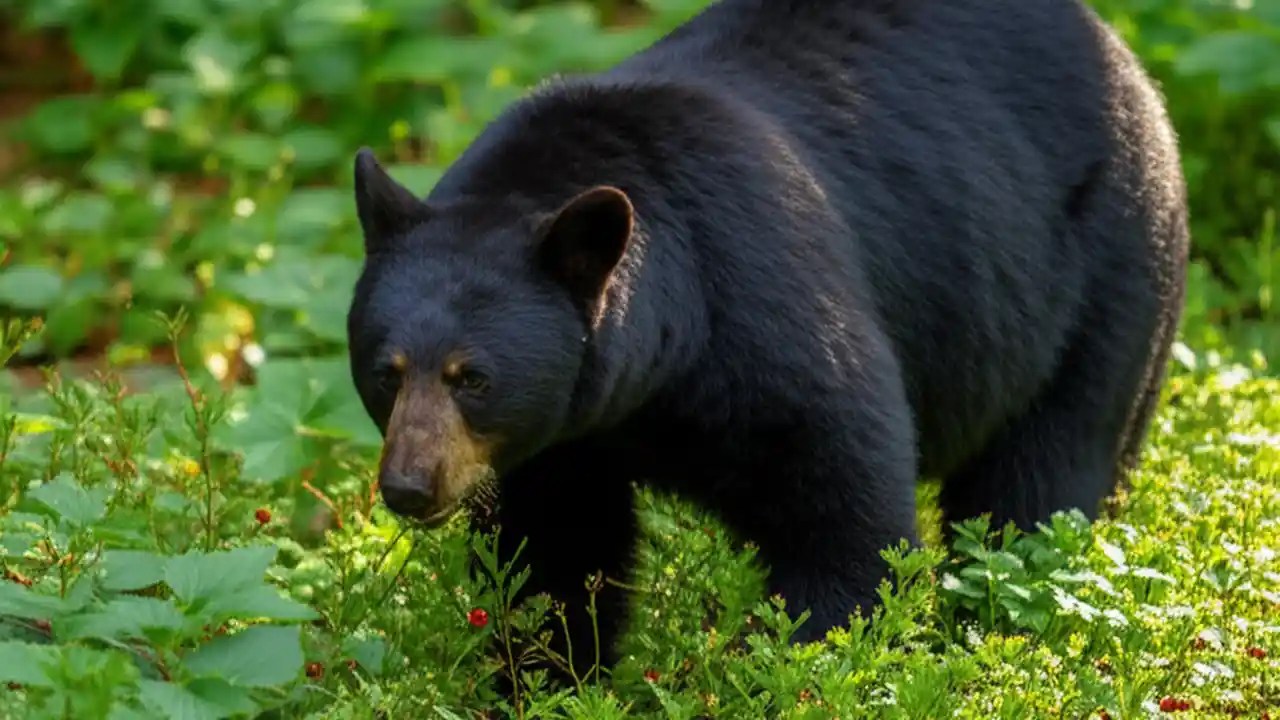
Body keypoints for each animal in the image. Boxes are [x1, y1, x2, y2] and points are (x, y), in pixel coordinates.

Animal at [345, 0, 1189, 686]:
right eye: (387, 372)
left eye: (472, 377)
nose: (409, 486)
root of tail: (1120, 50)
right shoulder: (561, 439)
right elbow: (554, 552)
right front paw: (545, 681)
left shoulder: (760, 307)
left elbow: (842, 513)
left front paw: (802, 667)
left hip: (1108, 269)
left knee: (1040, 485)